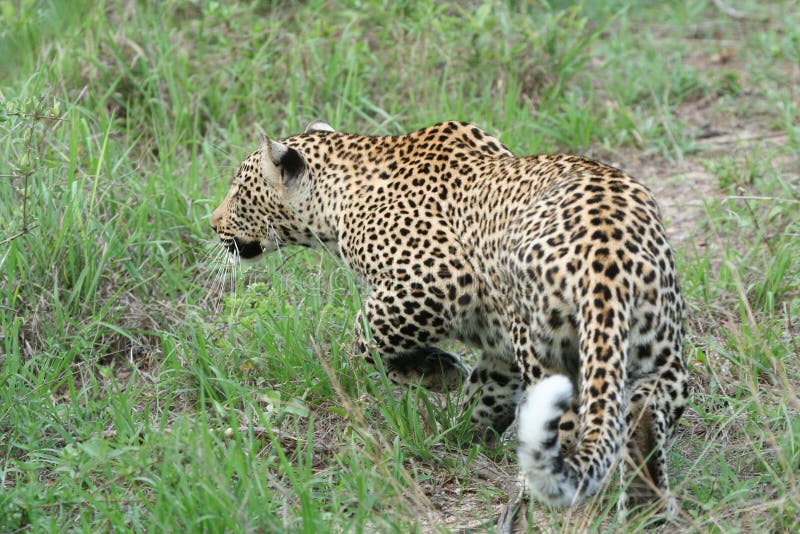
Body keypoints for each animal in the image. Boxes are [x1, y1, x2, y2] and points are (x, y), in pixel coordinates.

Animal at [210, 120, 688, 513]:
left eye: (237, 190)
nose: (212, 222)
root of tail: (608, 258)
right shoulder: (499, 341)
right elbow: (488, 390)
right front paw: (463, 430)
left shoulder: (437, 280)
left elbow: (366, 334)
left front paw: (435, 374)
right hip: (659, 357)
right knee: (642, 421)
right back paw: (644, 511)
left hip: (549, 354)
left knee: (570, 430)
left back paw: (542, 499)